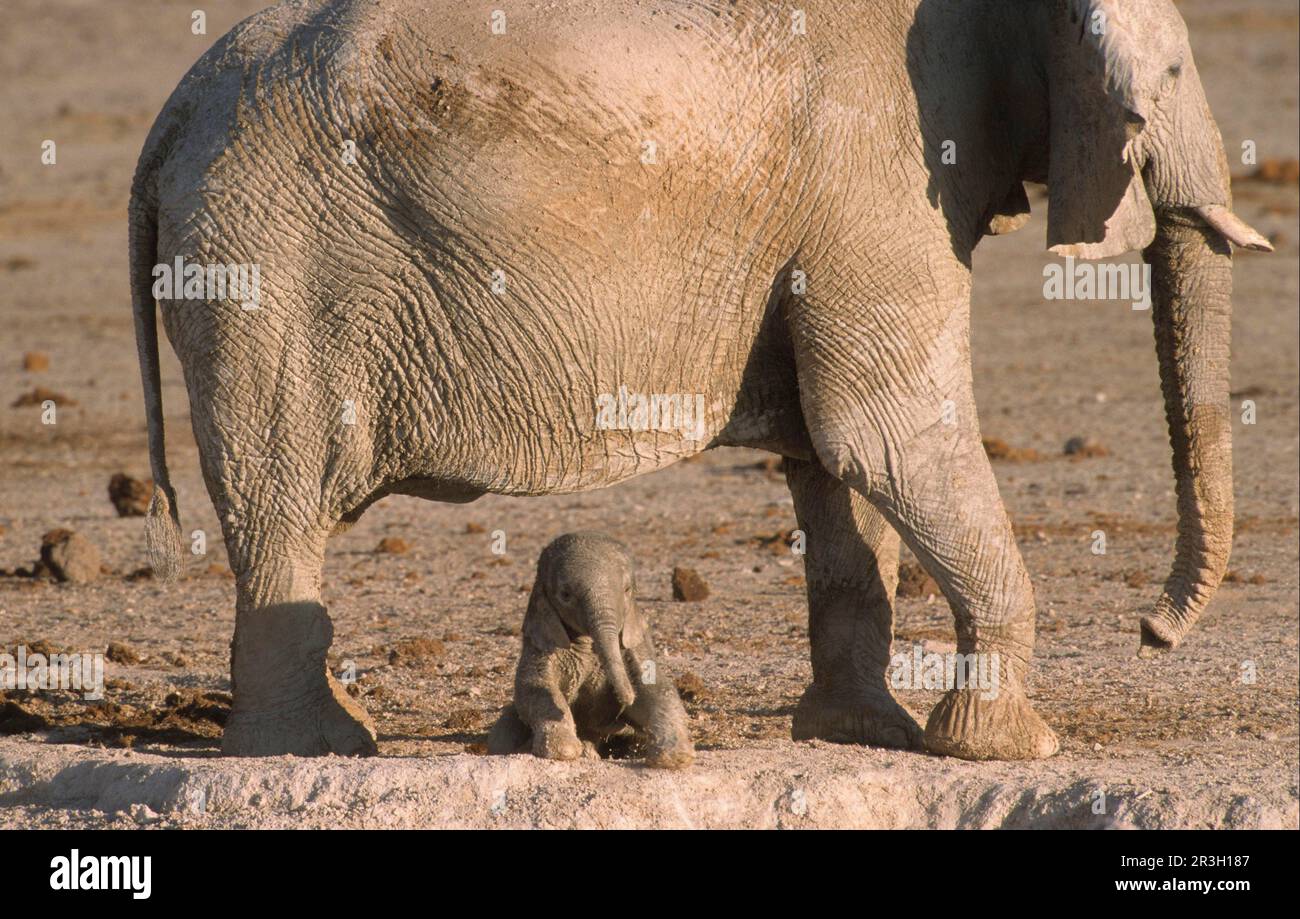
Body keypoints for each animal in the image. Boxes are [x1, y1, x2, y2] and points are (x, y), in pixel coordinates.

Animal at [485, 532, 695, 768]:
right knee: (503, 732)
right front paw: (564, 751)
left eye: (627, 590)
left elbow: (657, 688)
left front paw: (674, 757)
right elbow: (534, 688)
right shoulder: (539, 644)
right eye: (565, 595)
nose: (625, 700)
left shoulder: (636, 644)